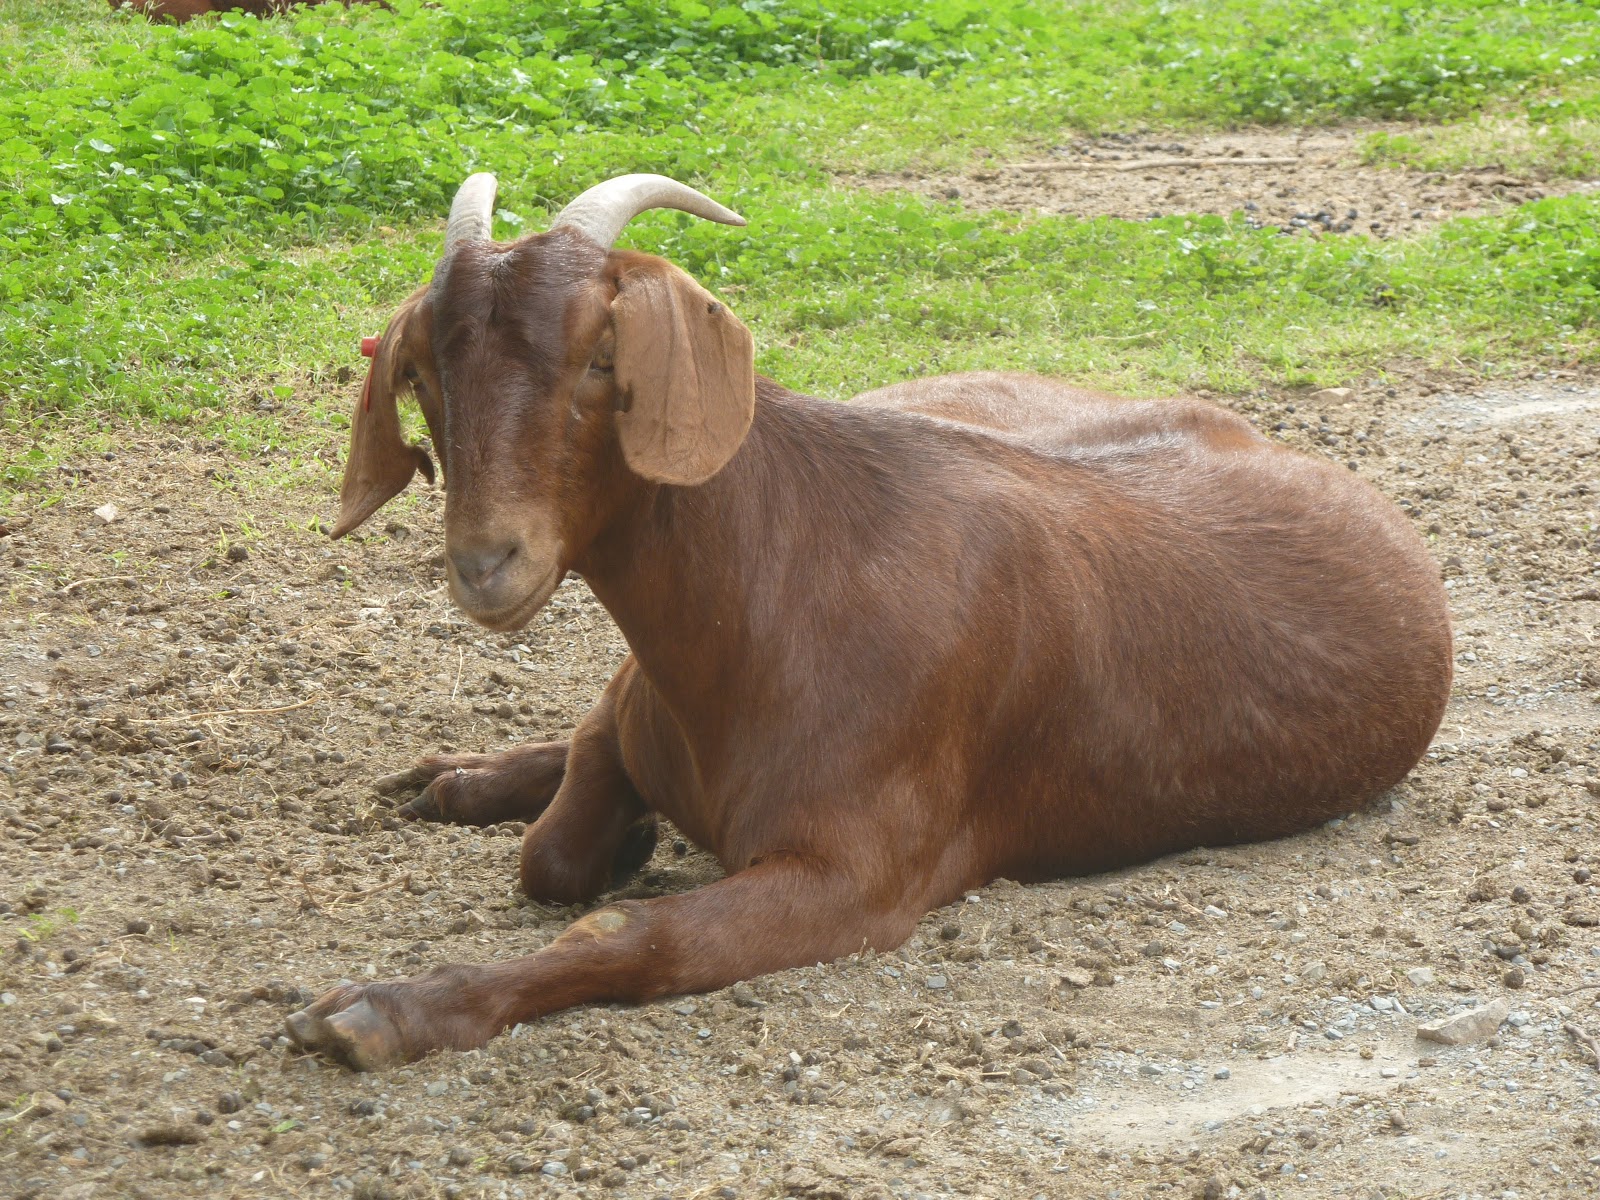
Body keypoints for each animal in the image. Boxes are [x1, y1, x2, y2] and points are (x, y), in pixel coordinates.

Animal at [286, 172, 1453, 1070]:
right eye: (423, 375)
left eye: (601, 360)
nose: (487, 563)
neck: (763, 608)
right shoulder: (637, 707)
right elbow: (560, 834)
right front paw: (580, 818)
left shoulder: (855, 877)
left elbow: (625, 926)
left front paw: (386, 1009)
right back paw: (455, 776)